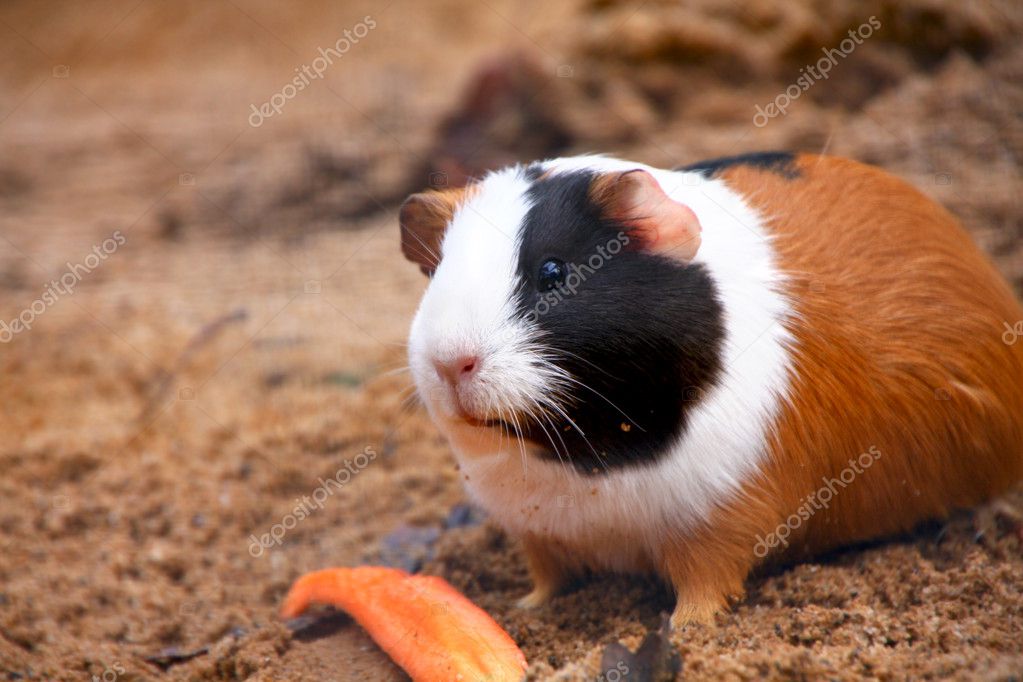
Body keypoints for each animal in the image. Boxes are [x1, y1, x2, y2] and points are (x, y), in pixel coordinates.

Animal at [399, 152, 1023, 626]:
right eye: (438, 274)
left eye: (553, 272)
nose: (450, 362)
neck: (579, 461)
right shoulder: (537, 532)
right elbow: (549, 577)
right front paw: (524, 609)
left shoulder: (722, 521)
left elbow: (704, 585)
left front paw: (685, 629)